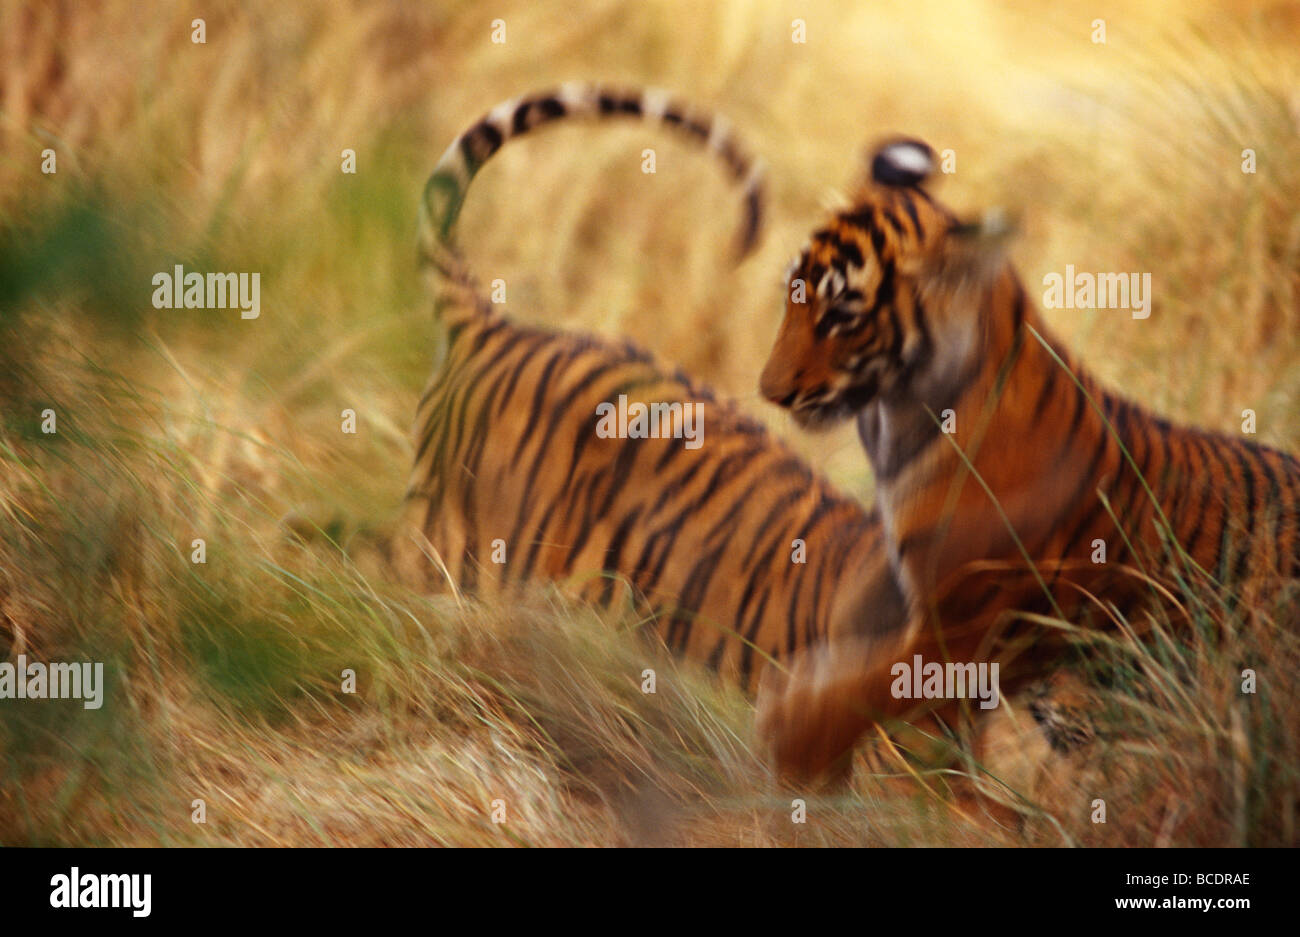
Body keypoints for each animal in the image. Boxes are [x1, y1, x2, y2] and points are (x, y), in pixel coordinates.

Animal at [754, 137, 1300, 779]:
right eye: (791, 294)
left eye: (842, 315)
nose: (771, 392)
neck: (894, 428)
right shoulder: (900, 582)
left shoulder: (962, 628)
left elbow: (864, 695)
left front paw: (790, 741)